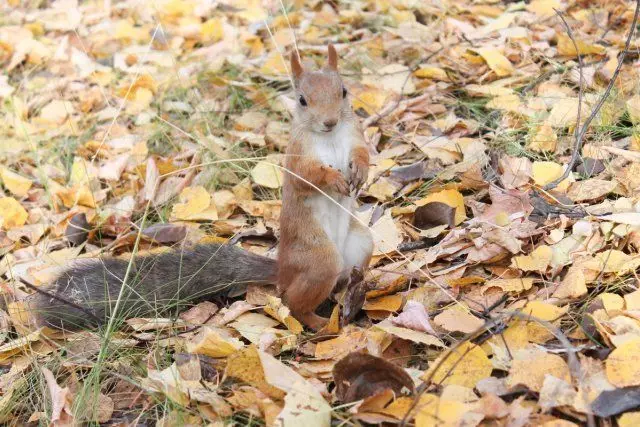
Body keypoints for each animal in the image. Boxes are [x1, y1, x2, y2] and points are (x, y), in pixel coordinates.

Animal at [27, 46, 372, 334]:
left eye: (343, 91)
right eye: (302, 100)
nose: (329, 121)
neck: (330, 137)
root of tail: (283, 270)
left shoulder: (354, 134)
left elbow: (363, 152)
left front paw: (360, 171)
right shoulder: (298, 156)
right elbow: (307, 176)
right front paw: (334, 179)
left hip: (362, 243)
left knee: (344, 275)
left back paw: (355, 285)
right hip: (319, 260)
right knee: (292, 302)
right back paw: (321, 322)